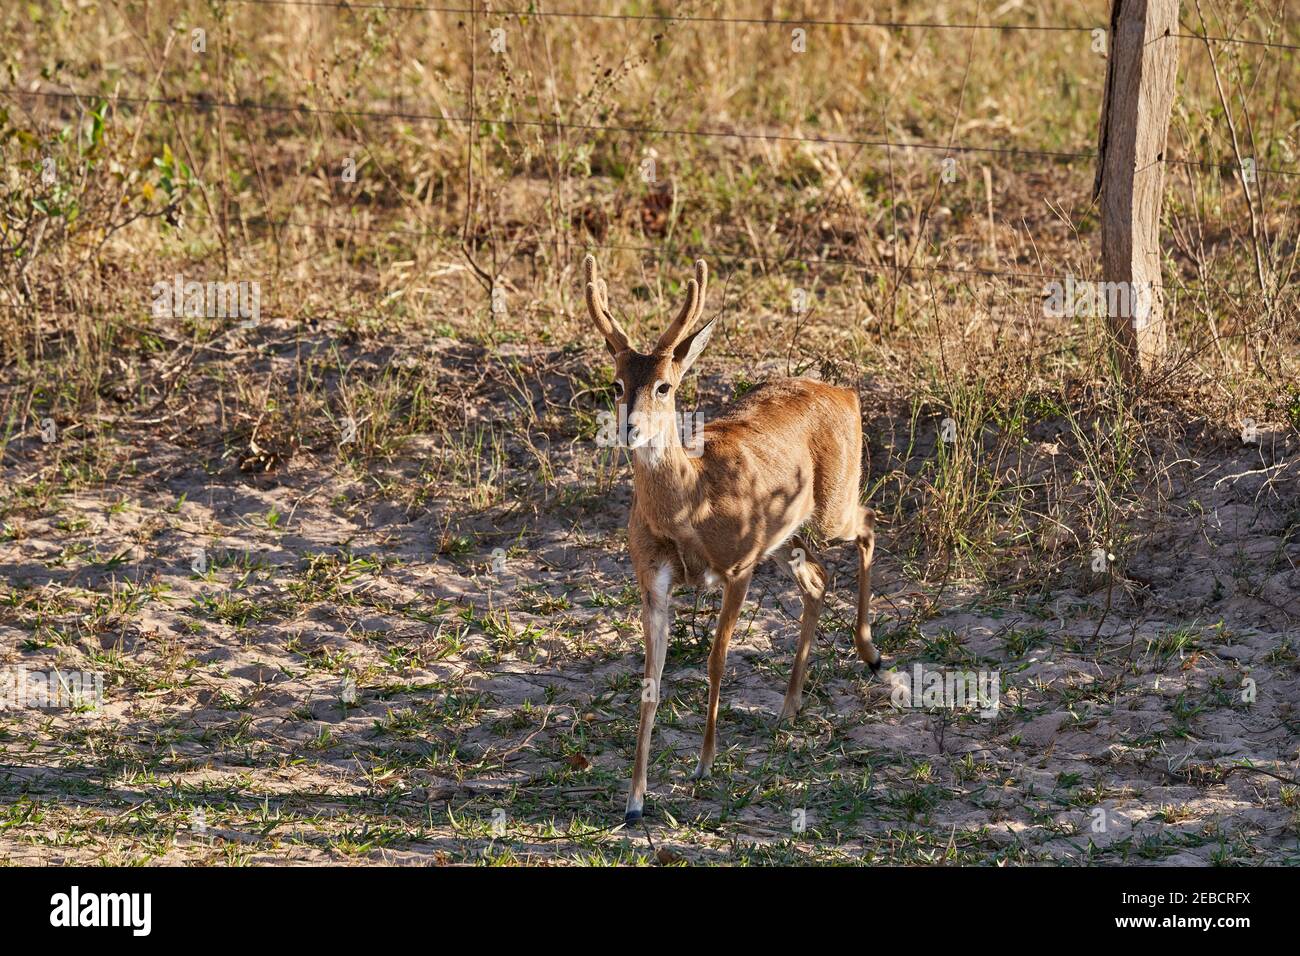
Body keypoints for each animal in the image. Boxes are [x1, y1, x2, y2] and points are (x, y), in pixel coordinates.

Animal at [581, 254, 882, 826]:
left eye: (665, 385)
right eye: (616, 383)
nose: (631, 429)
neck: (690, 503)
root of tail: (846, 393)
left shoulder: (738, 569)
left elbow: (717, 661)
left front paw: (703, 763)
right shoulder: (652, 584)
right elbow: (651, 681)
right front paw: (634, 800)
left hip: (831, 511)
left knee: (868, 528)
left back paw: (871, 654)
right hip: (786, 539)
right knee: (818, 579)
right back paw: (788, 708)